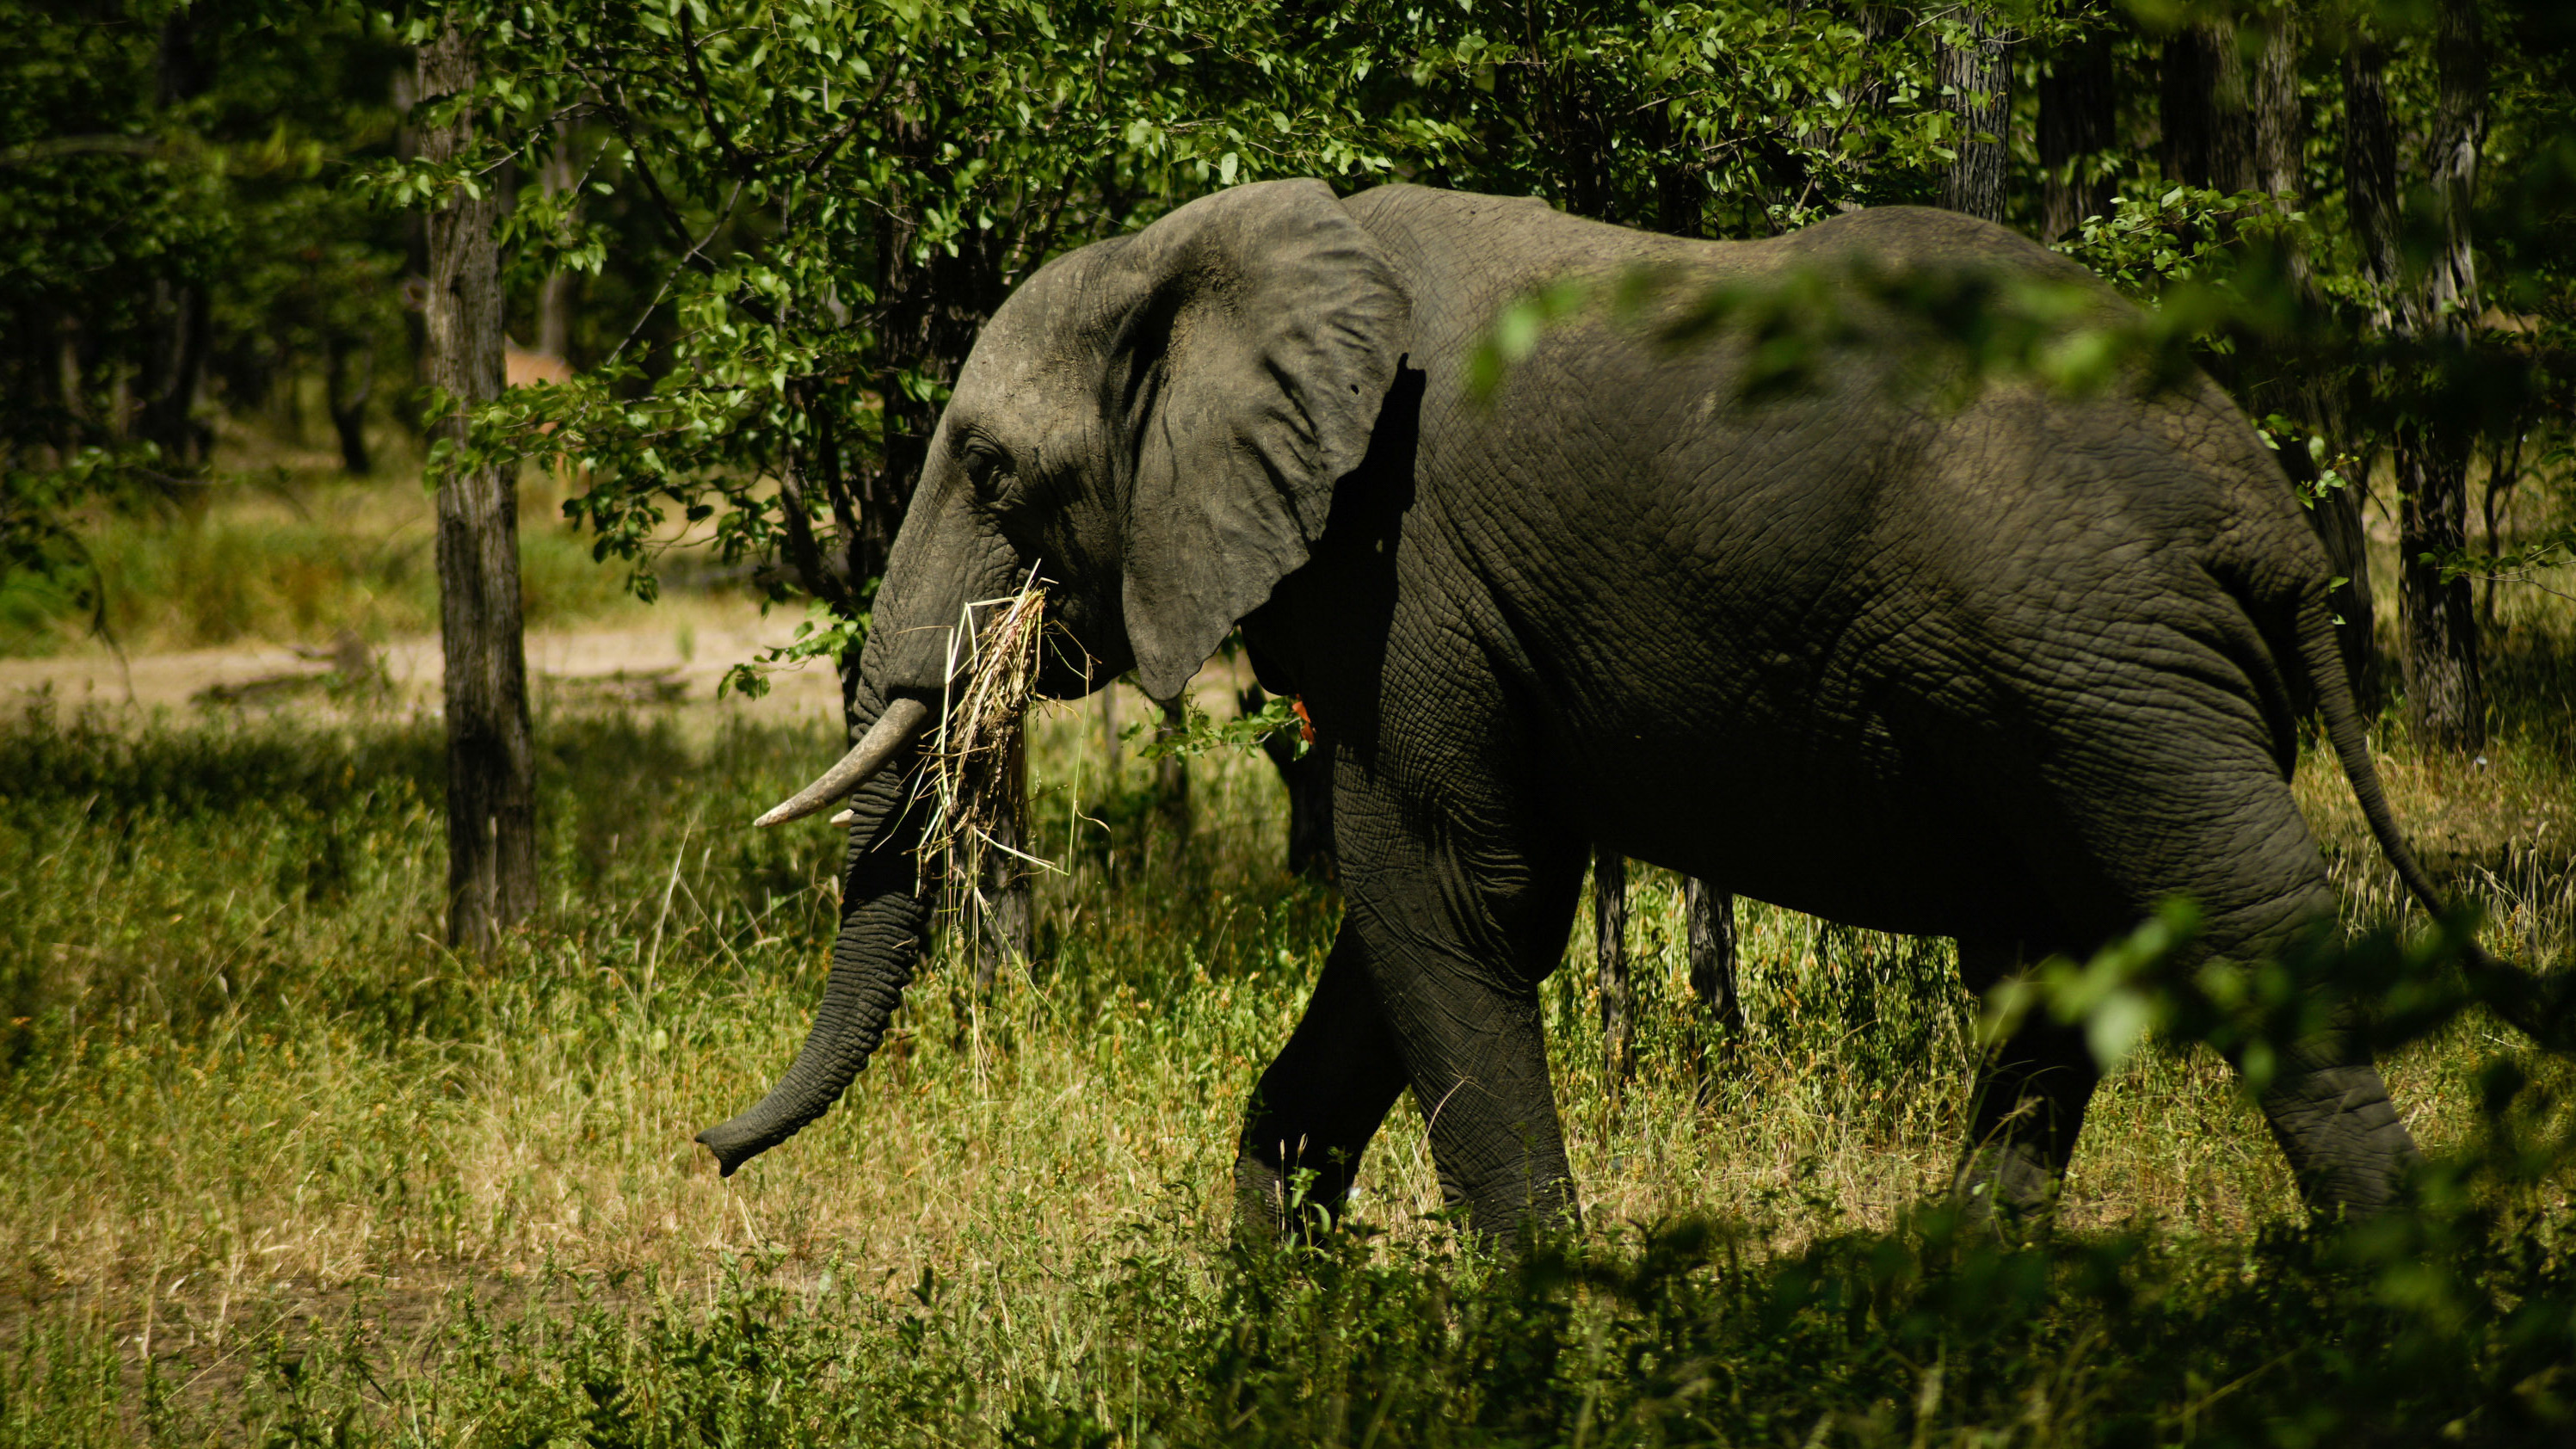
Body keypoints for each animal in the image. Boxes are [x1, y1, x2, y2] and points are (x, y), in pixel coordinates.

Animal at [697, 178, 2492, 1238]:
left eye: (995, 471)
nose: (711, 1151)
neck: (1210, 246)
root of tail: (2270, 521)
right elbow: (1397, 928)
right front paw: (1281, 1318)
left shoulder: (1404, 561)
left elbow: (1449, 894)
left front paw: (1527, 1334)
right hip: (2072, 678)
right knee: (2059, 963)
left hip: (2107, 660)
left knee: (2238, 924)